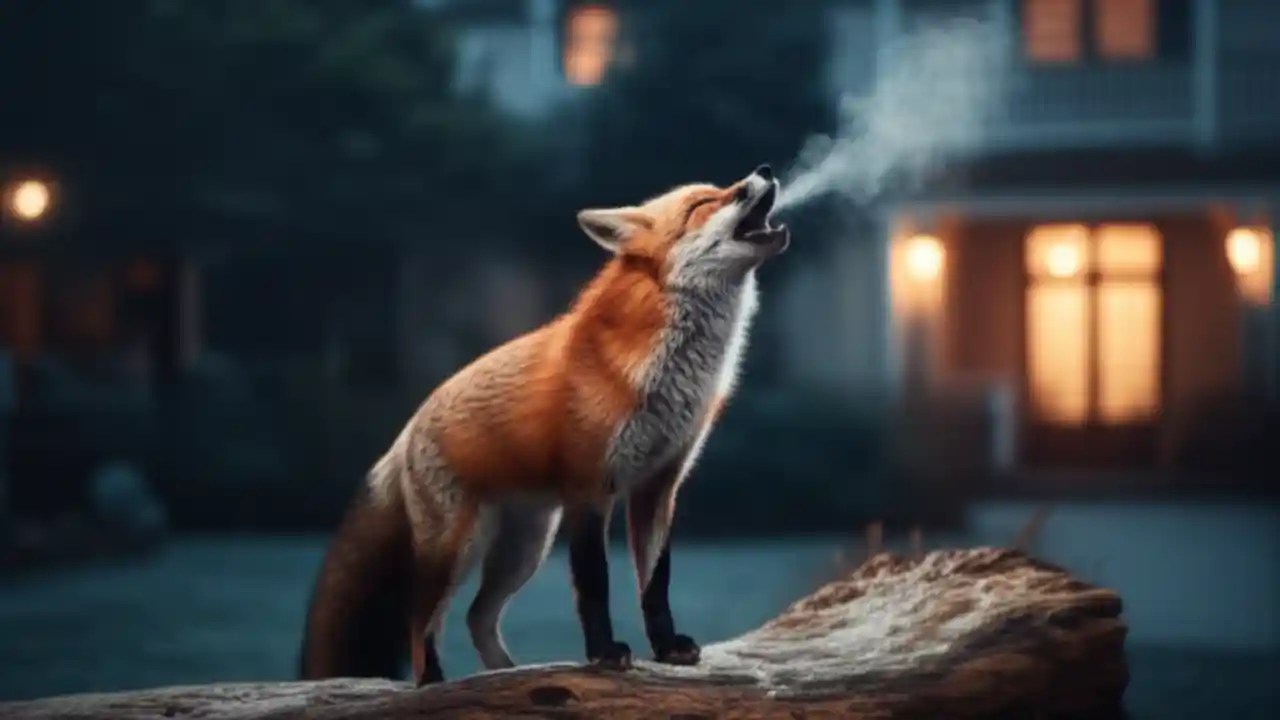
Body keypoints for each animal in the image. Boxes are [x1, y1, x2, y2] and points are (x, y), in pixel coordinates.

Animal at [299, 165, 790, 686]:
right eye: (703, 204)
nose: (764, 171)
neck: (666, 370)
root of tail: (408, 428)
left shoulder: (657, 487)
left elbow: (656, 584)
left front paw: (666, 646)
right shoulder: (589, 489)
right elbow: (594, 585)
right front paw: (604, 654)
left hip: (525, 549)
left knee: (477, 617)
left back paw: (507, 675)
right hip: (457, 548)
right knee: (420, 618)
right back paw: (433, 681)